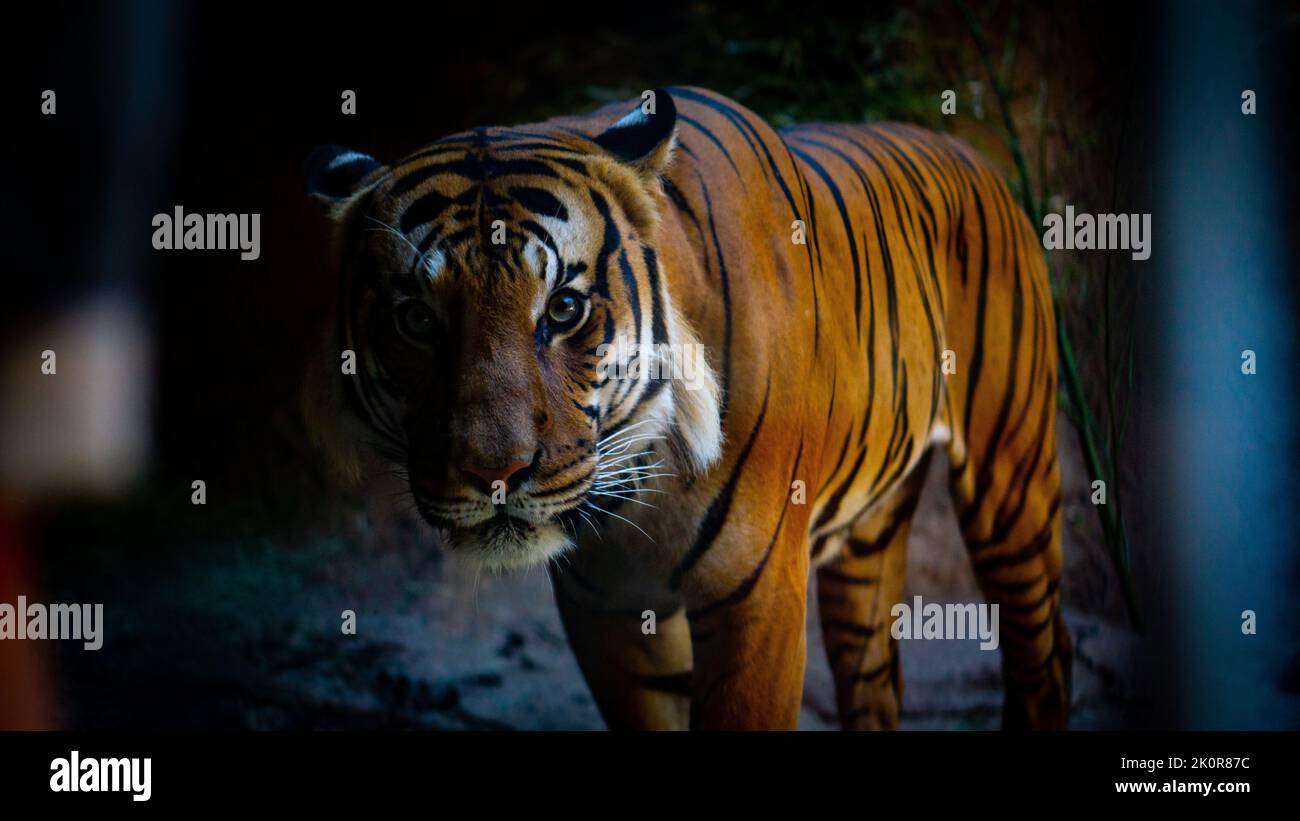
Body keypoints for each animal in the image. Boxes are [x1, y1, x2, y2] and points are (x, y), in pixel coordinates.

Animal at [303, 86, 1071, 730]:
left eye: (564, 308)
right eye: (416, 319)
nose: (496, 475)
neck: (641, 484)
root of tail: (971, 153)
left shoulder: (757, 594)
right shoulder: (607, 609)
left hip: (1012, 485)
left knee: (1045, 652)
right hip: (871, 540)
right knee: (878, 679)